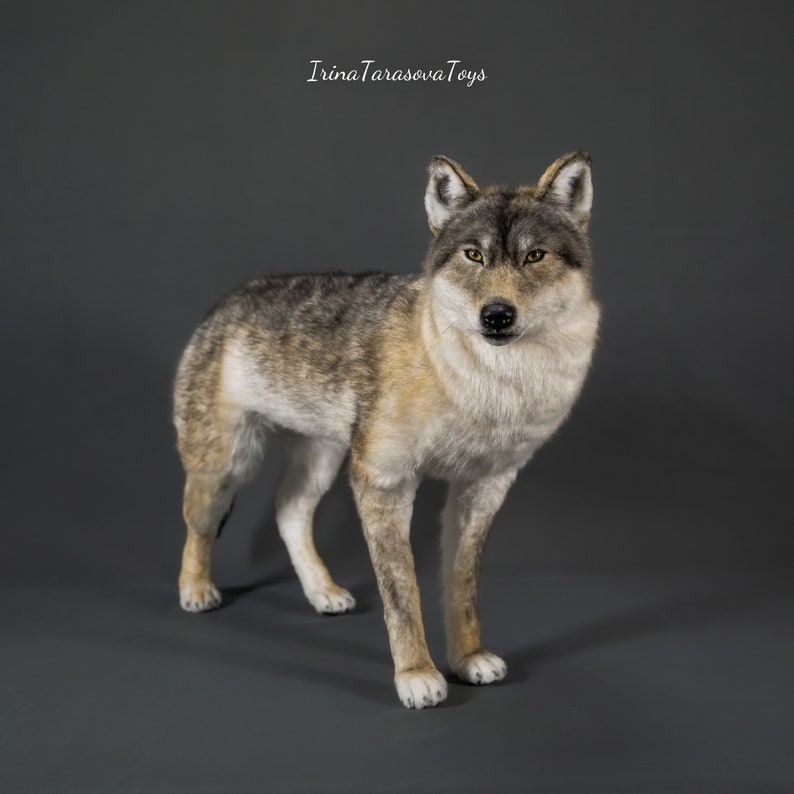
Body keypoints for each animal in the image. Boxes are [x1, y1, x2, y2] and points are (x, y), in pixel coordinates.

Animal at [173, 151, 599, 708]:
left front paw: (468, 658)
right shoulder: (383, 483)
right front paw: (416, 674)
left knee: (289, 511)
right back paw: (195, 590)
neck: (486, 385)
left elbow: (462, 587)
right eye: (473, 256)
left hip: (320, 461)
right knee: (197, 525)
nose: (497, 316)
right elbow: (403, 593)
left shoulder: (484, 489)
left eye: (535, 257)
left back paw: (323, 593)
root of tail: (224, 304)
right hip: (228, 468)